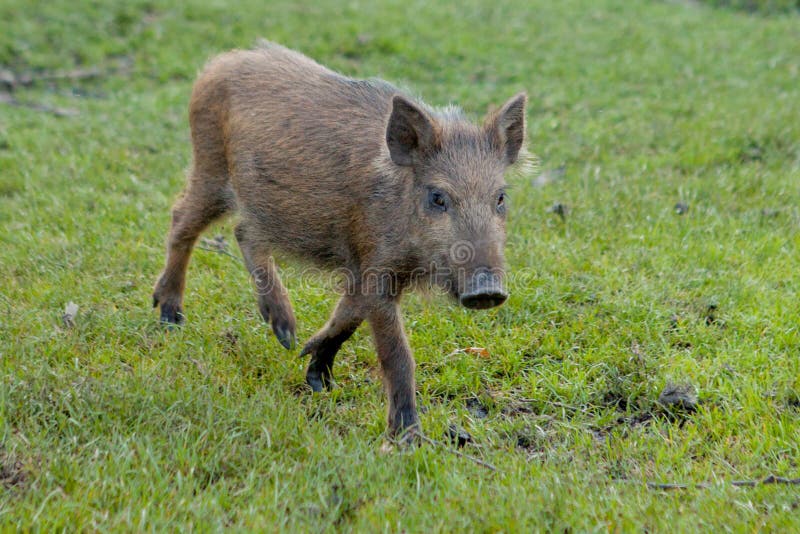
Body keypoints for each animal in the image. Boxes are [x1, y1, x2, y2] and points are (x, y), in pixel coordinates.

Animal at [152, 41, 527, 439]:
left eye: (500, 197)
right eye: (438, 197)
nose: (487, 290)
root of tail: (219, 62)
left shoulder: (364, 266)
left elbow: (347, 316)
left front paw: (314, 373)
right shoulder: (375, 266)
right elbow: (396, 353)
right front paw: (408, 438)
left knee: (242, 232)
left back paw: (285, 334)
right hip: (210, 165)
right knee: (181, 220)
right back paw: (170, 318)